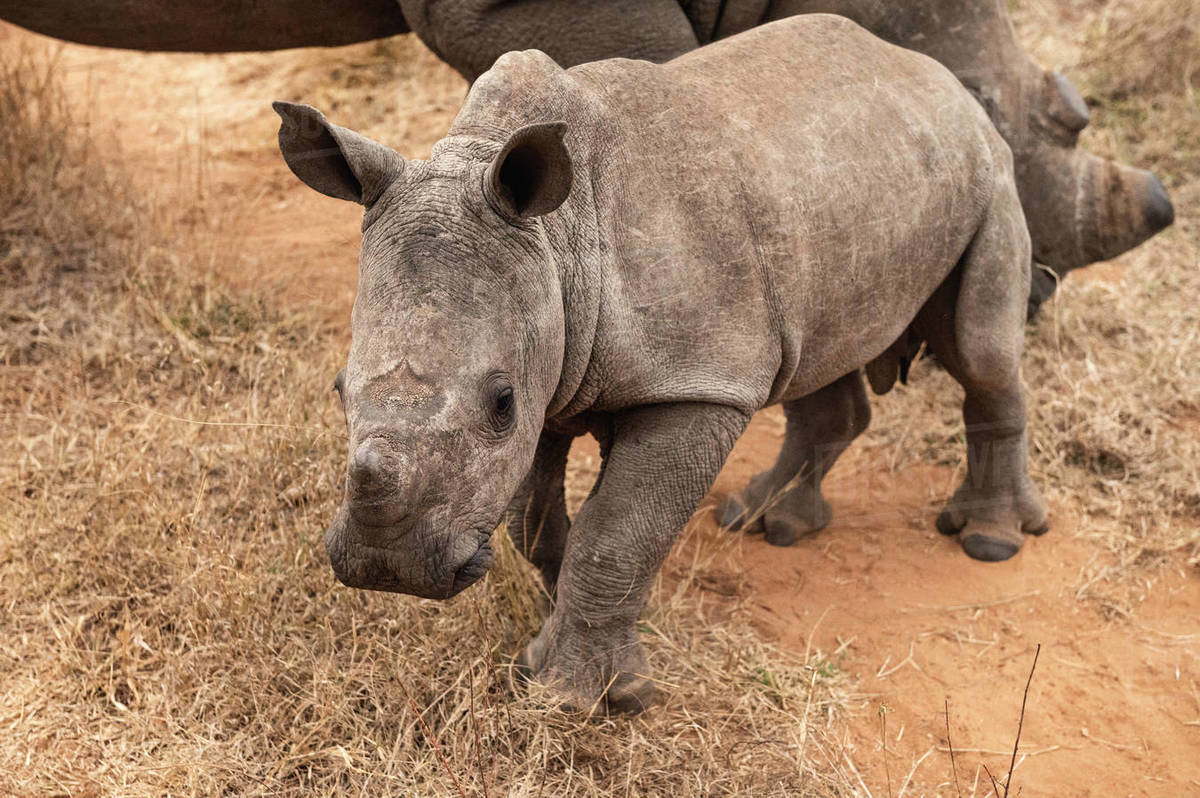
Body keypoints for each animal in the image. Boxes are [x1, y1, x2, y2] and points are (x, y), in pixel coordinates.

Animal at [275, 14, 1050, 713]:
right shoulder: (551, 362)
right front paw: (549, 645)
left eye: (500, 404)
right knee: (815, 355)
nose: (389, 570)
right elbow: (535, 520)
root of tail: (935, 76)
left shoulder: (694, 384)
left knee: (980, 351)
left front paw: (586, 699)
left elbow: (616, 533)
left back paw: (988, 542)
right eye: (338, 390)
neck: (558, 237)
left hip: (987, 170)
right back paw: (766, 521)